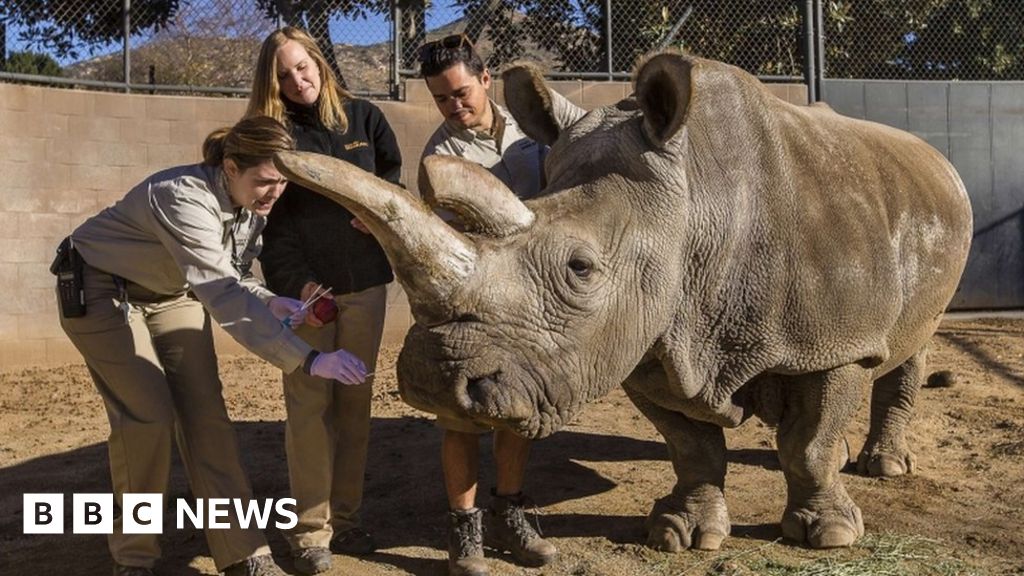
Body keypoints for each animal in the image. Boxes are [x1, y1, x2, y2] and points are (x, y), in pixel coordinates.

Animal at [273, 51, 972, 551]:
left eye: (580, 269)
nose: (435, 381)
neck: (695, 200)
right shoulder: (645, 337)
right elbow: (690, 445)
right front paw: (681, 534)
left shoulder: (834, 341)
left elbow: (809, 441)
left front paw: (829, 535)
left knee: (913, 340)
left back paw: (884, 467)